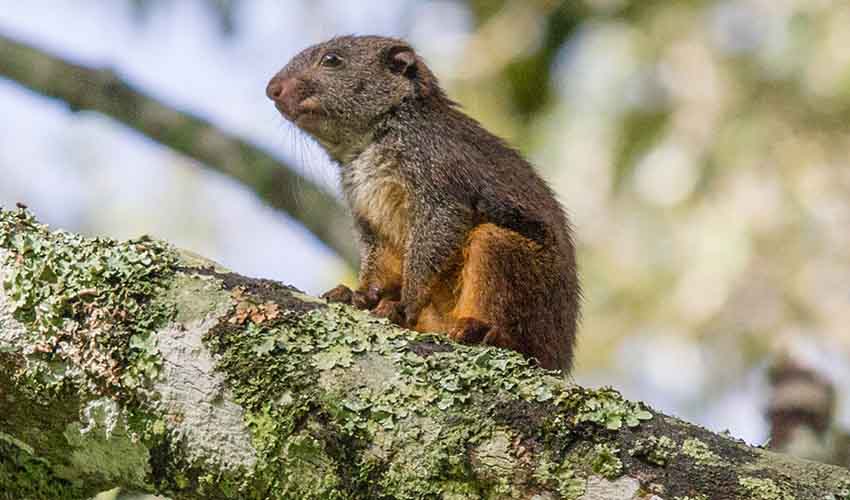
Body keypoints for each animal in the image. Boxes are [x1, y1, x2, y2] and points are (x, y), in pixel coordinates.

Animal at [266, 35, 580, 372]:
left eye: (332, 60)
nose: (272, 89)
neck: (368, 145)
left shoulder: (439, 176)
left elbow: (434, 239)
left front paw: (404, 304)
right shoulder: (365, 213)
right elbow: (379, 262)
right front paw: (357, 295)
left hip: (509, 262)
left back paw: (483, 331)